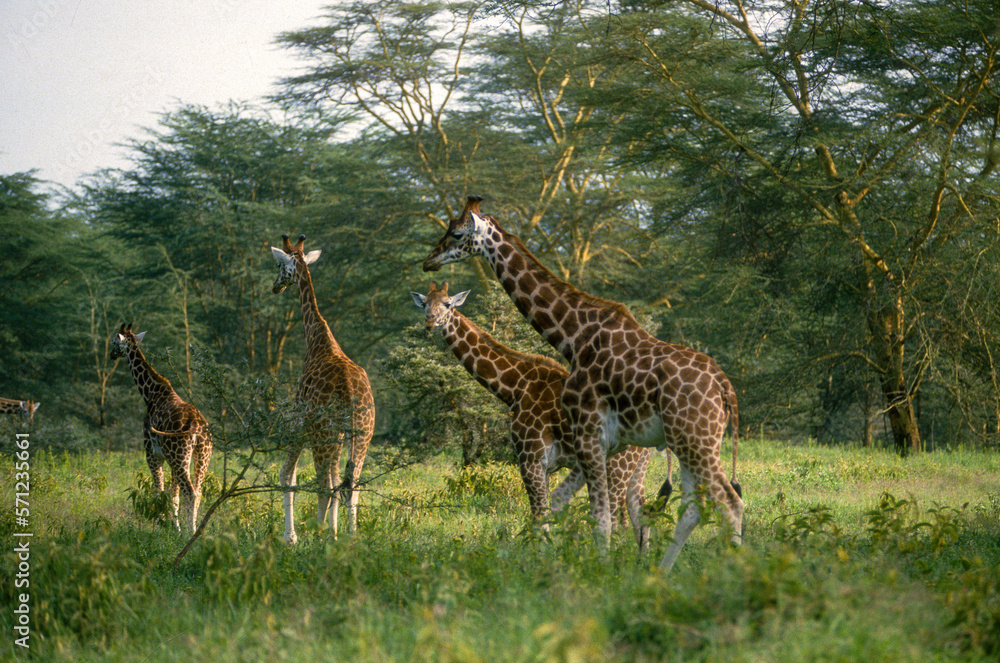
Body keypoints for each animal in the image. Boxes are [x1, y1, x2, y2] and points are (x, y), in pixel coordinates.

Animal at [110, 323, 213, 533]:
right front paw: (174, 527)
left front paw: (161, 527)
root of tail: (196, 425)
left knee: (190, 492)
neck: (150, 393)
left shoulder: (152, 454)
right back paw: (195, 530)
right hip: (200, 455)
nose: (110, 355)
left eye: (114, 342)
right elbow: (173, 497)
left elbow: (160, 493)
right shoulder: (169, 459)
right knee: (197, 491)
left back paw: (190, 532)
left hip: (180, 457)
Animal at [271, 233, 375, 543]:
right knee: (352, 484)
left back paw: (319, 536)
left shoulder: (302, 419)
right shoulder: (340, 433)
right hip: (361, 433)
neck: (317, 338)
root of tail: (351, 393)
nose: (275, 286)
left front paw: (299, 535)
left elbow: (294, 476)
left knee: (326, 485)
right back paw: (350, 536)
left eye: (279, 265)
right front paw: (335, 531)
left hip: (323, 432)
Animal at [411, 281, 653, 548]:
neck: (514, 387)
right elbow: (543, 518)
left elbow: (539, 521)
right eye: (424, 304)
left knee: (617, 521)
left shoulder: (531, 458)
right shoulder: (544, 466)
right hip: (637, 467)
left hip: (616, 465)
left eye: (447, 303)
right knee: (641, 517)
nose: (430, 323)